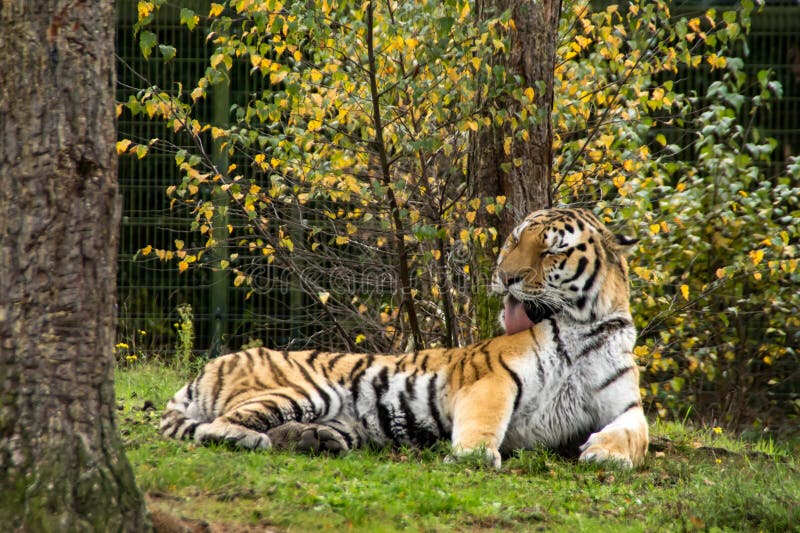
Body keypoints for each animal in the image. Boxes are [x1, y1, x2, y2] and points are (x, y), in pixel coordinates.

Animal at [160, 207, 649, 468]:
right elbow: (485, 420)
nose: (504, 276)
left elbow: (634, 433)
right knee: (215, 428)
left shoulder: (626, 406)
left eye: (550, 249)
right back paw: (252, 439)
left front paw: (606, 454)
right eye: (513, 241)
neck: (585, 326)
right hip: (304, 389)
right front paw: (474, 456)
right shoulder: (492, 378)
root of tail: (210, 366)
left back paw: (314, 440)